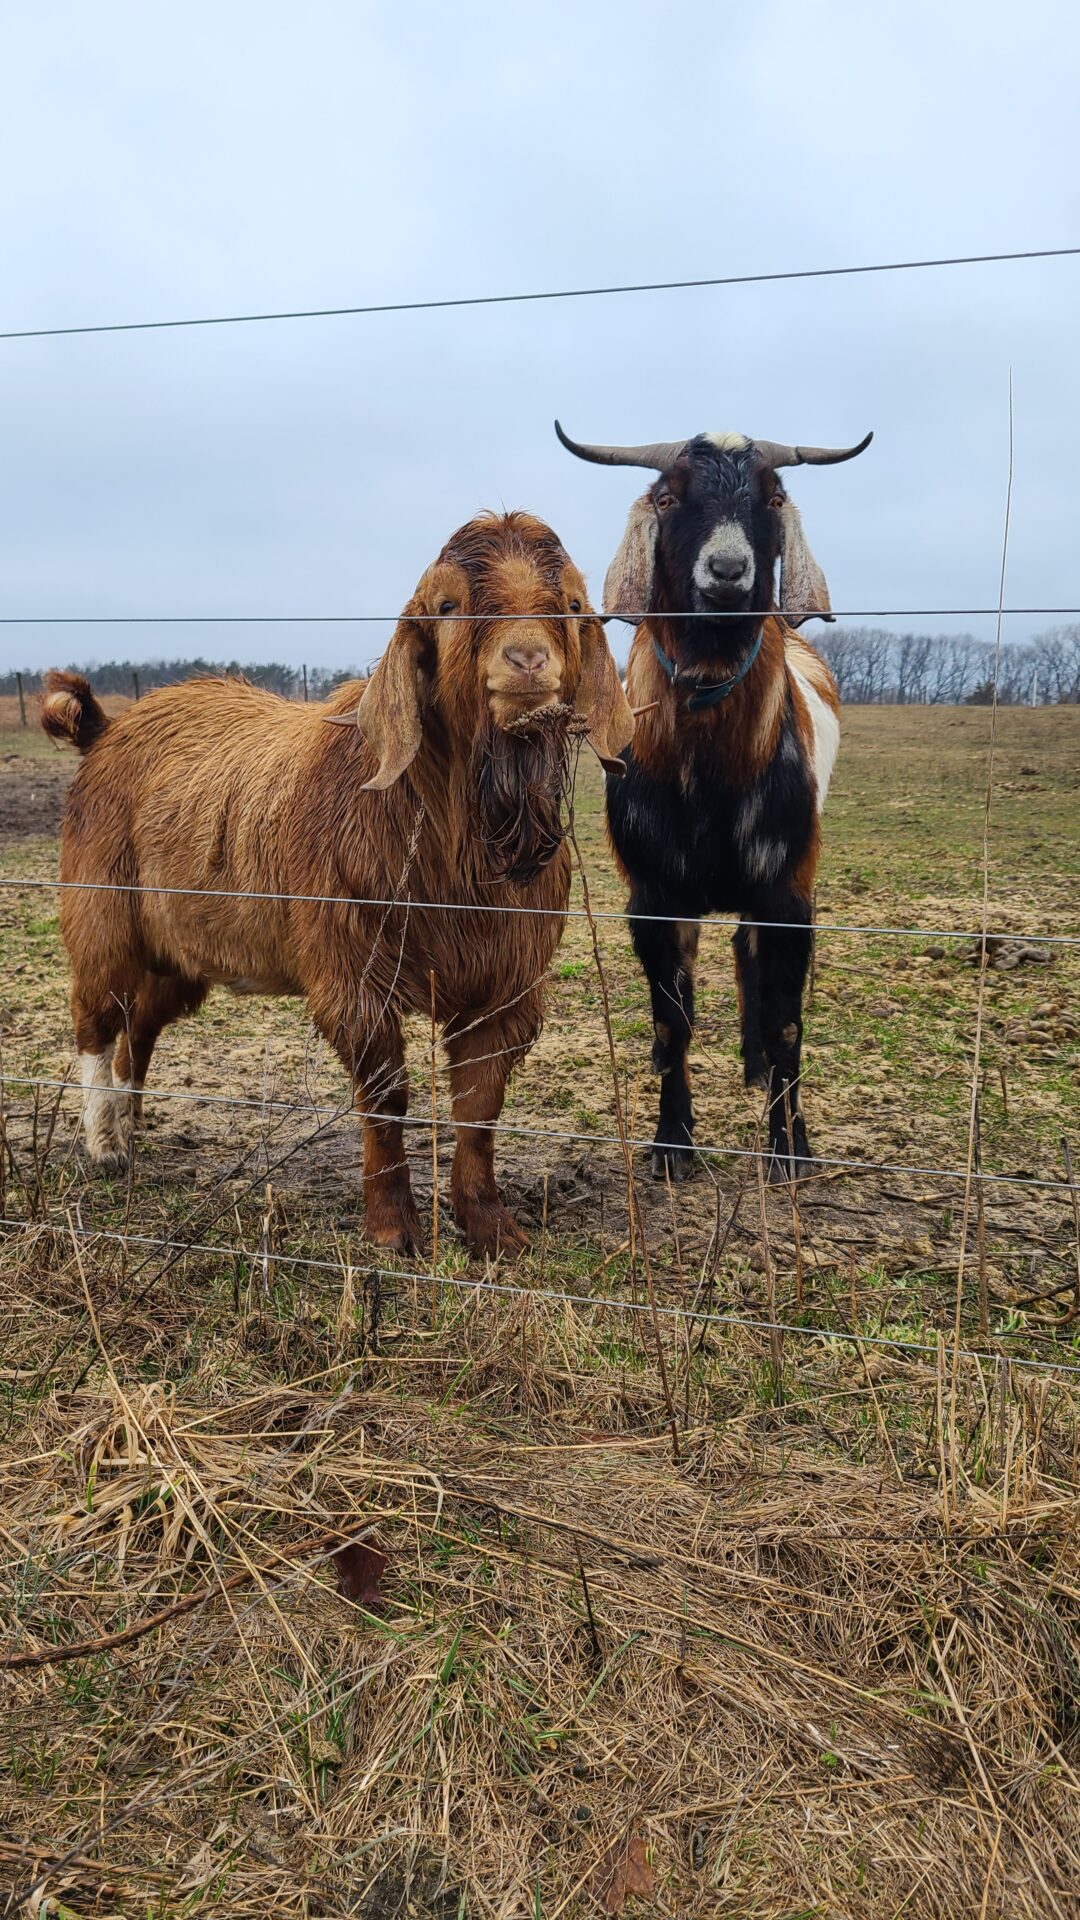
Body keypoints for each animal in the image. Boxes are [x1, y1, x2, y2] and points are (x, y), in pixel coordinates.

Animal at [41, 510, 633, 1256]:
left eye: (574, 605)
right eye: (446, 605)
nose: (526, 660)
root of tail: (108, 730)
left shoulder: (509, 982)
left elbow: (479, 1105)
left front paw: (491, 1227)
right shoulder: (352, 973)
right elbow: (384, 1097)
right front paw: (392, 1230)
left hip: (181, 951)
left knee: (139, 1026)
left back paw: (130, 1125)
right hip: (102, 915)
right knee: (96, 1019)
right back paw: (104, 1146)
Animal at [555, 423, 871, 1178]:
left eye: (774, 497)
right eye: (669, 497)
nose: (727, 572)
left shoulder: (788, 891)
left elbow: (787, 1020)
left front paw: (790, 1145)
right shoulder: (654, 896)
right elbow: (673, 1018)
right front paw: (673, 1141)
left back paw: (754, 1065)